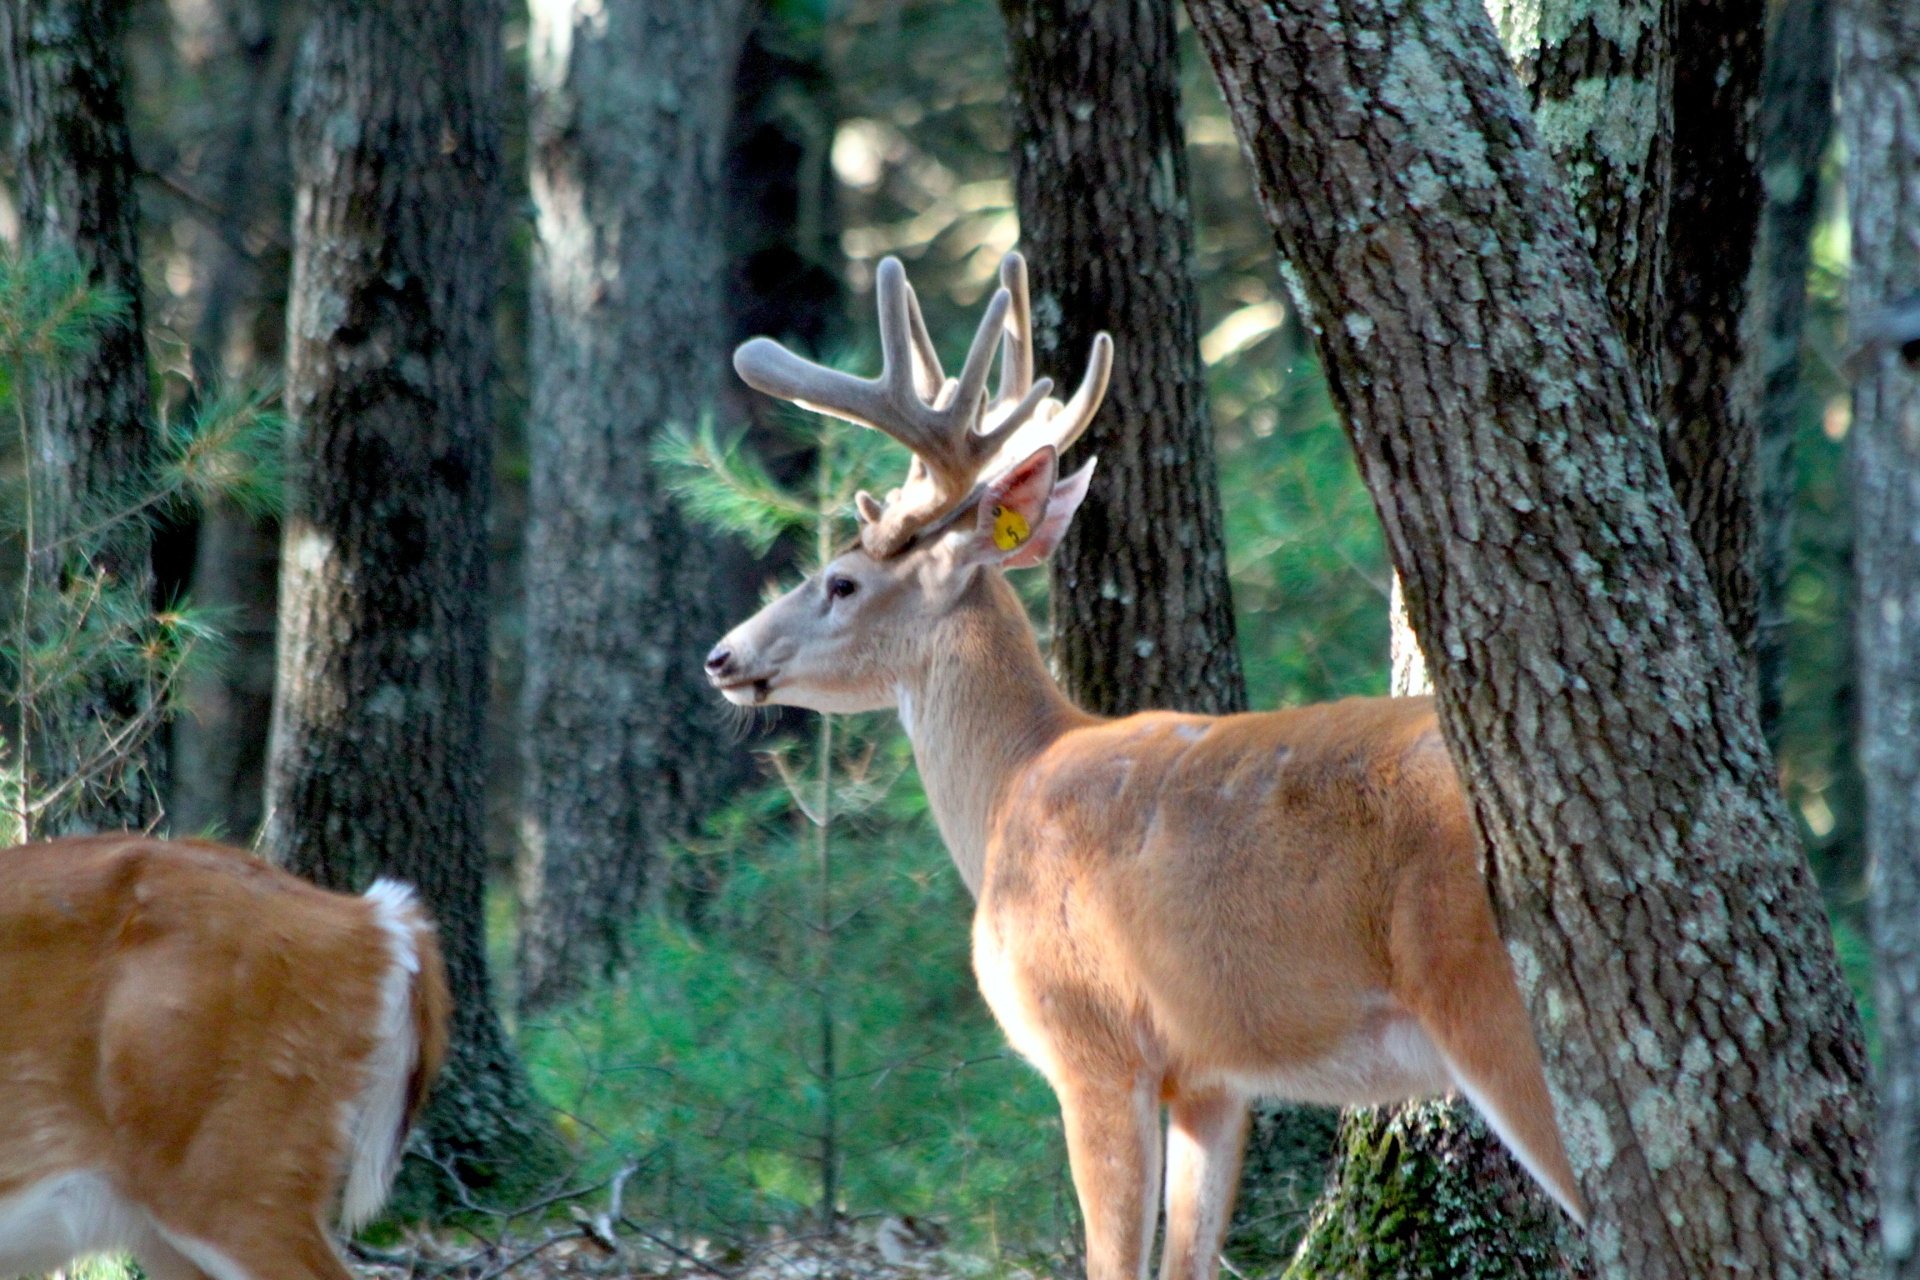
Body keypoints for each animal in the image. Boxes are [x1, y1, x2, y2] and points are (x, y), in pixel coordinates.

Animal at [706, 252, 1587, 1280]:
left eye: (841, 582)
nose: (722, 655)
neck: (1013, 784)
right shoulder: (1210, 1074)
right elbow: (1186, 1260)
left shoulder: (1091, 1041)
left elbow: (1112, 1262)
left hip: (1499, 1007)